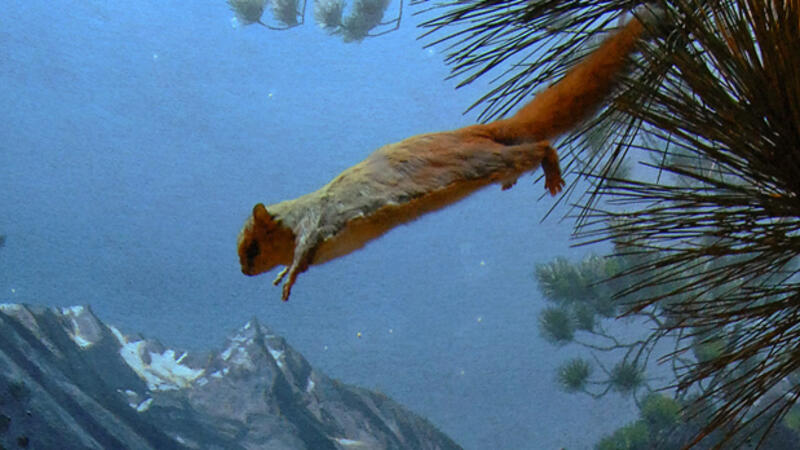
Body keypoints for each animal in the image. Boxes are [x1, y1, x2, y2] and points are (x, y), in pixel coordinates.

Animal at [238, 12, 655, 300]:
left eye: (252, 246)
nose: (242, 271)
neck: (296, 213)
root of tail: (474, 132)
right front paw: (281, 275)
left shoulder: (315, 221)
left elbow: (304, 249)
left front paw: (289, 276)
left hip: (482, 159)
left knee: (537, 147)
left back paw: (550, 173)